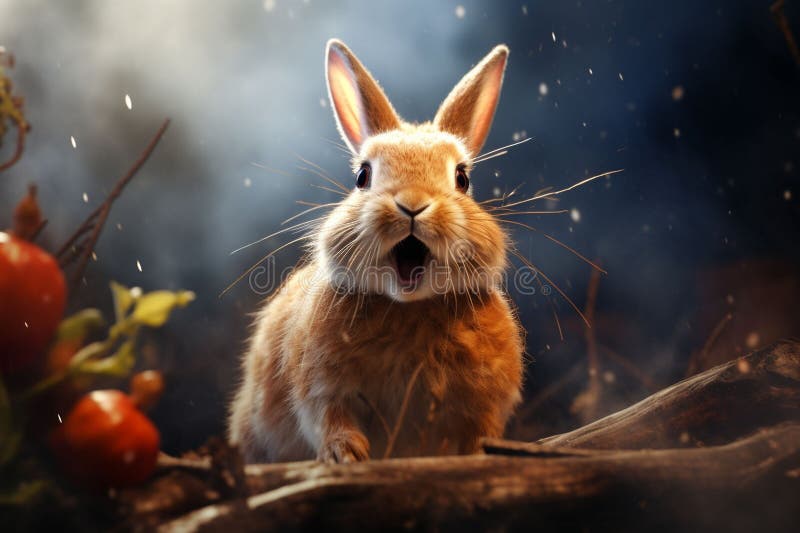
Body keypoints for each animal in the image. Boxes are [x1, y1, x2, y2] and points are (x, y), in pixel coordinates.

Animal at [228, 39, 524, 463]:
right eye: (362, 176)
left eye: (462, 179)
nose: (412, 204)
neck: (409, 307)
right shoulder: (321, 387)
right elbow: (330, 418)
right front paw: (344, 454)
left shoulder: (484, 399)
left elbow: (480, 429)